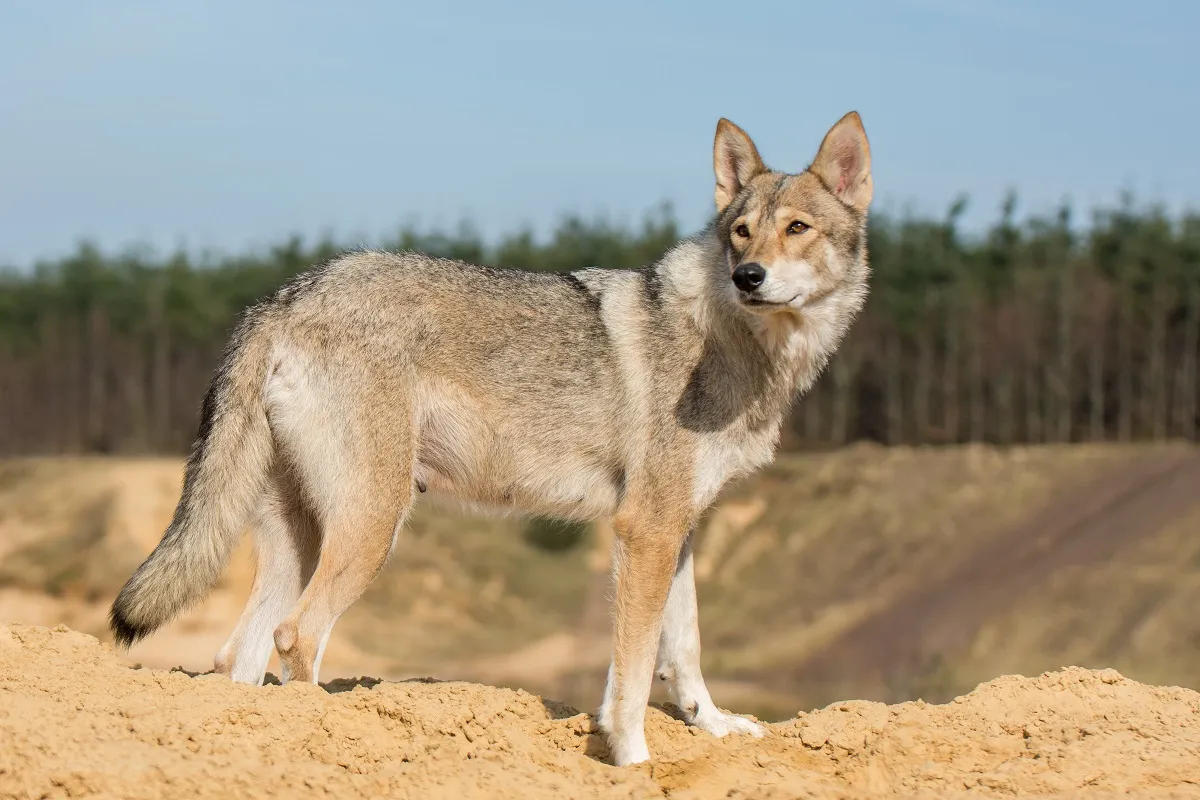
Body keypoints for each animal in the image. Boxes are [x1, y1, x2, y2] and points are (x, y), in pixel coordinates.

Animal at [108, 111, 873, 766]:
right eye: (740, 232)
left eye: (796, 228)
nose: (748, 277)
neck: (732, 344)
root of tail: (284, 296)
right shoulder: (643, 531)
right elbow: (630, 676)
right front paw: (631, 760)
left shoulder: (677, 533)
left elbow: (683, 653)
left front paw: (713, 727)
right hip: (374, 526)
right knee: (297, 636)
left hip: (302, 539)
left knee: (237, 655)